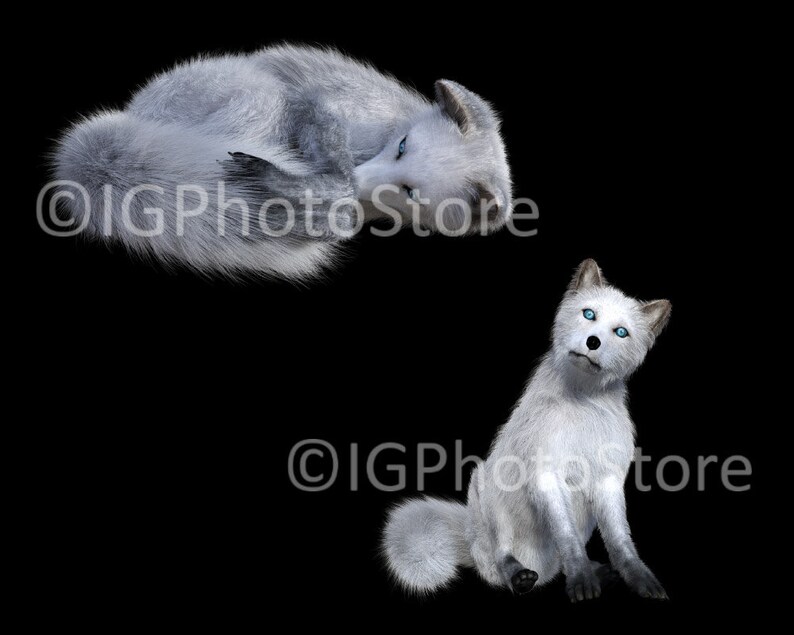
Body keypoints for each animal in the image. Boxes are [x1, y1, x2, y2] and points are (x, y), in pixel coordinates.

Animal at [52, 44, 512, 280]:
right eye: (401, 146)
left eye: (411, 192)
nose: (361, 176)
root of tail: (133, 115)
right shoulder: (317, 104)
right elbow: (337, 188)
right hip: (267, 100)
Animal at [383, 259, 672, 602]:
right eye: (589, 314)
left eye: (621, 332)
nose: (593, 342)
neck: (583, 406)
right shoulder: (545, 476)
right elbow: (568, 539)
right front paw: (581, 582)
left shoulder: (608, 482)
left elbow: (620, 541)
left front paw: (639, 579)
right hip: (485, 491)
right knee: (500, 558)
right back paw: (519, 576)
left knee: (556, 562)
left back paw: (595, 572)